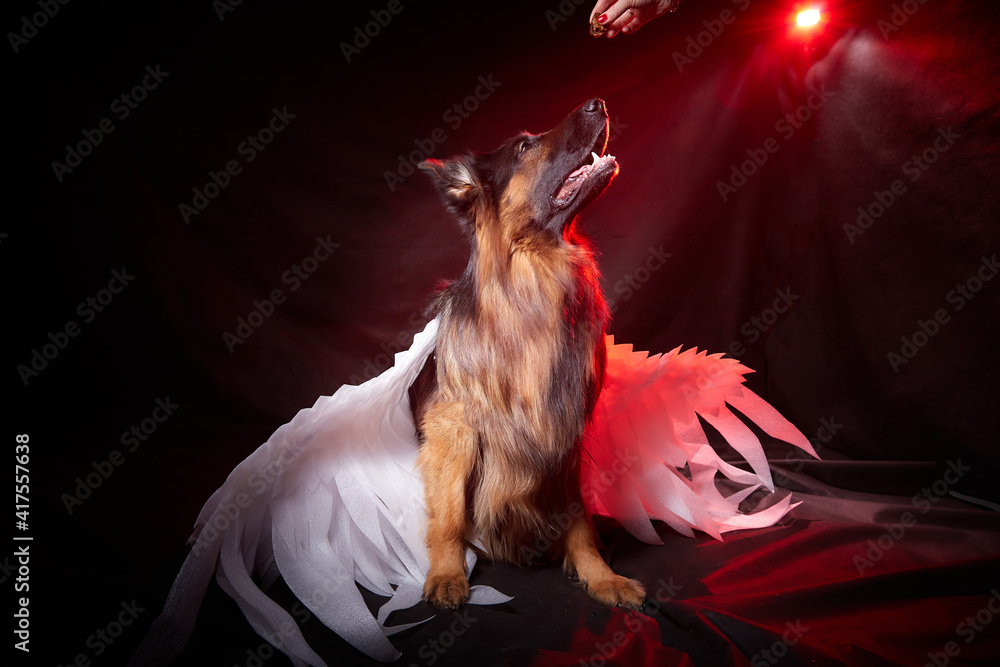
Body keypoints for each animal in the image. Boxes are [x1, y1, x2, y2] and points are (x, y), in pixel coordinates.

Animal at [414, 98, 646, 610]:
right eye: (523, 146)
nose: (598, 102)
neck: (532, 279)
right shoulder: (451, 430)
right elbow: (448, 515)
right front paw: (447, 574)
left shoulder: (562, 435)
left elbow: (579, 521)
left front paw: (600, 576)